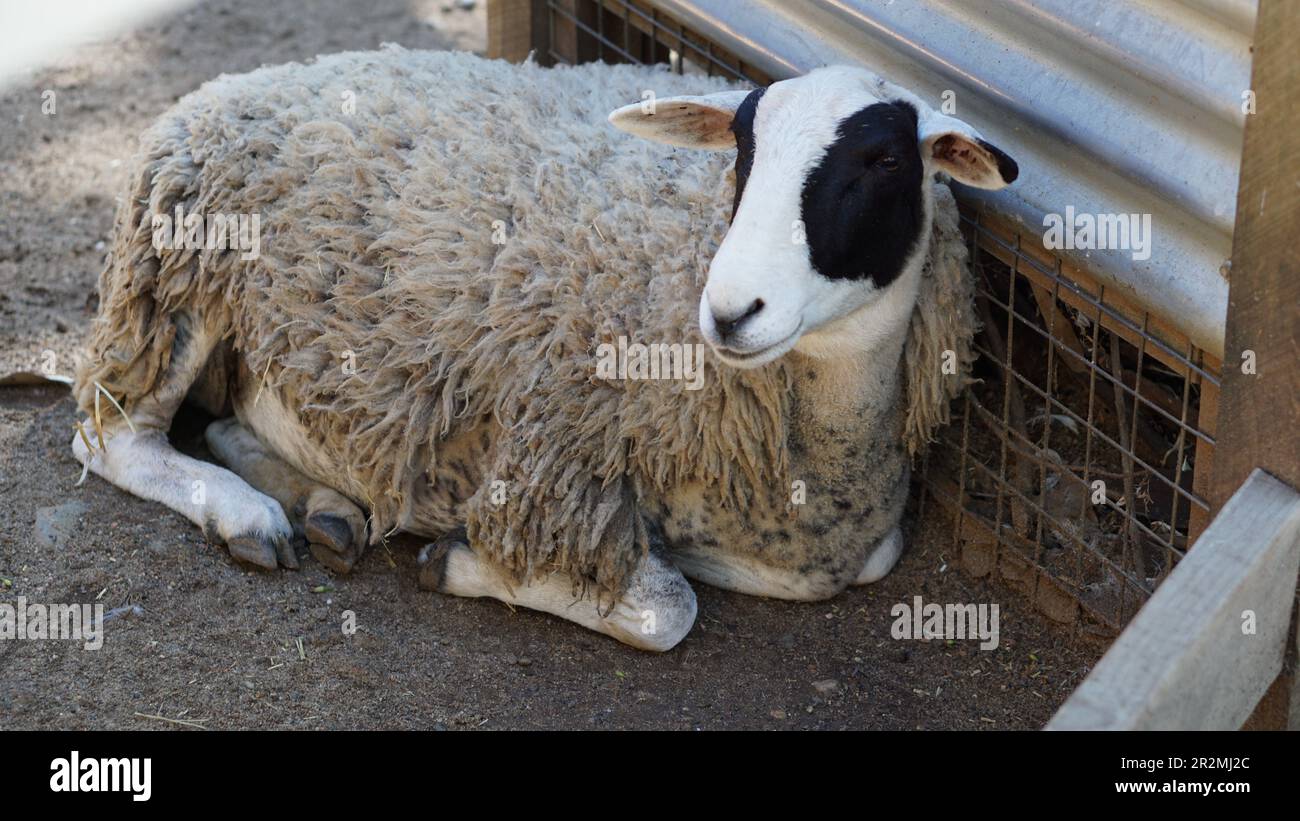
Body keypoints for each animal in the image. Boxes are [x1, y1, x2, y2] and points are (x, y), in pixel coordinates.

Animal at [71, 47, 1017, 651]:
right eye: (742, 152)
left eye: (886, 159)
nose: (729, 310)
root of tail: (231, 82)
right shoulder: (554, 460)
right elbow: (669, 609)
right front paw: (457, 561)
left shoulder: (835, 543)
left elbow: (861, 562)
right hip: (176, 271)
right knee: (110, 437)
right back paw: (248, 514)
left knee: (224, 424)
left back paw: (324, 508)